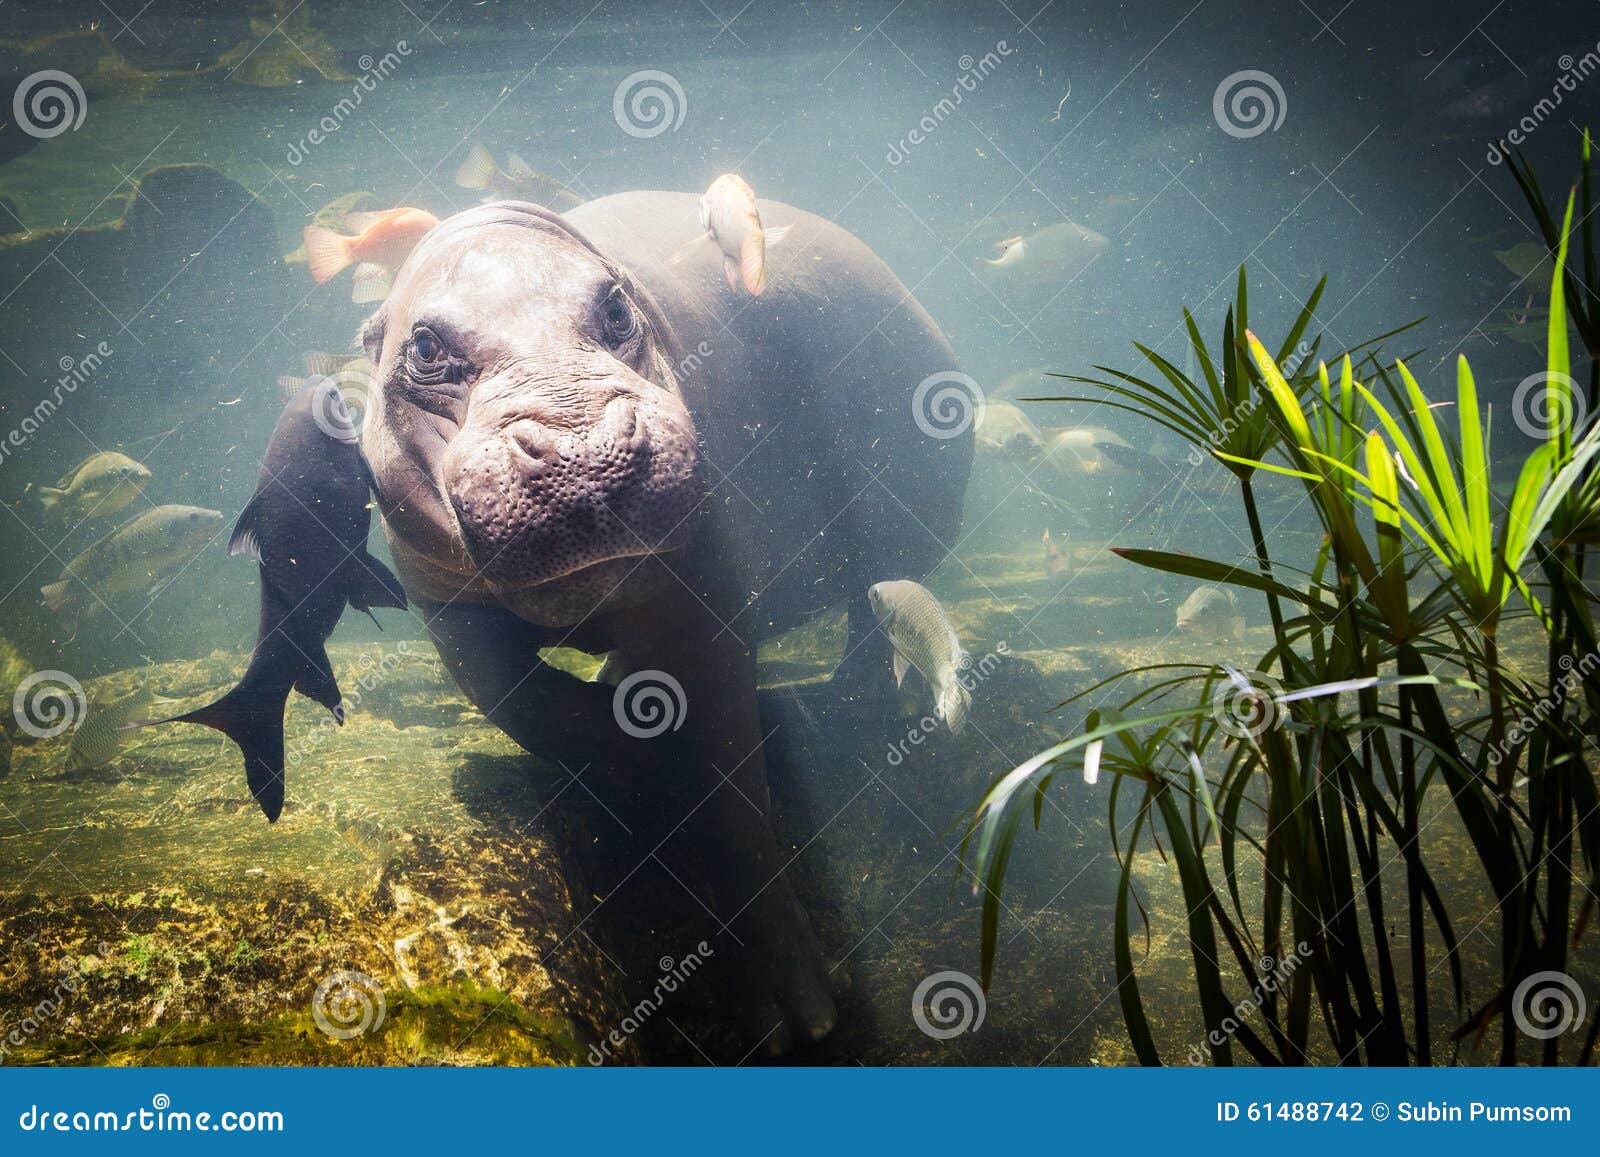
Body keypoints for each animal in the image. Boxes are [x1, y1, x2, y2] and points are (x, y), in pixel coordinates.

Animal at [355, 193, 971, 1053]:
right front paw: (640, 762)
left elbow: (740, 804)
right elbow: (527, 703)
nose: (584, 447)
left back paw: (860, 698)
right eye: (424, 345)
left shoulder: (707, 606)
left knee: (869, 598)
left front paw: (800, 1016)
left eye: (618, 306)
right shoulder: (449, 608)